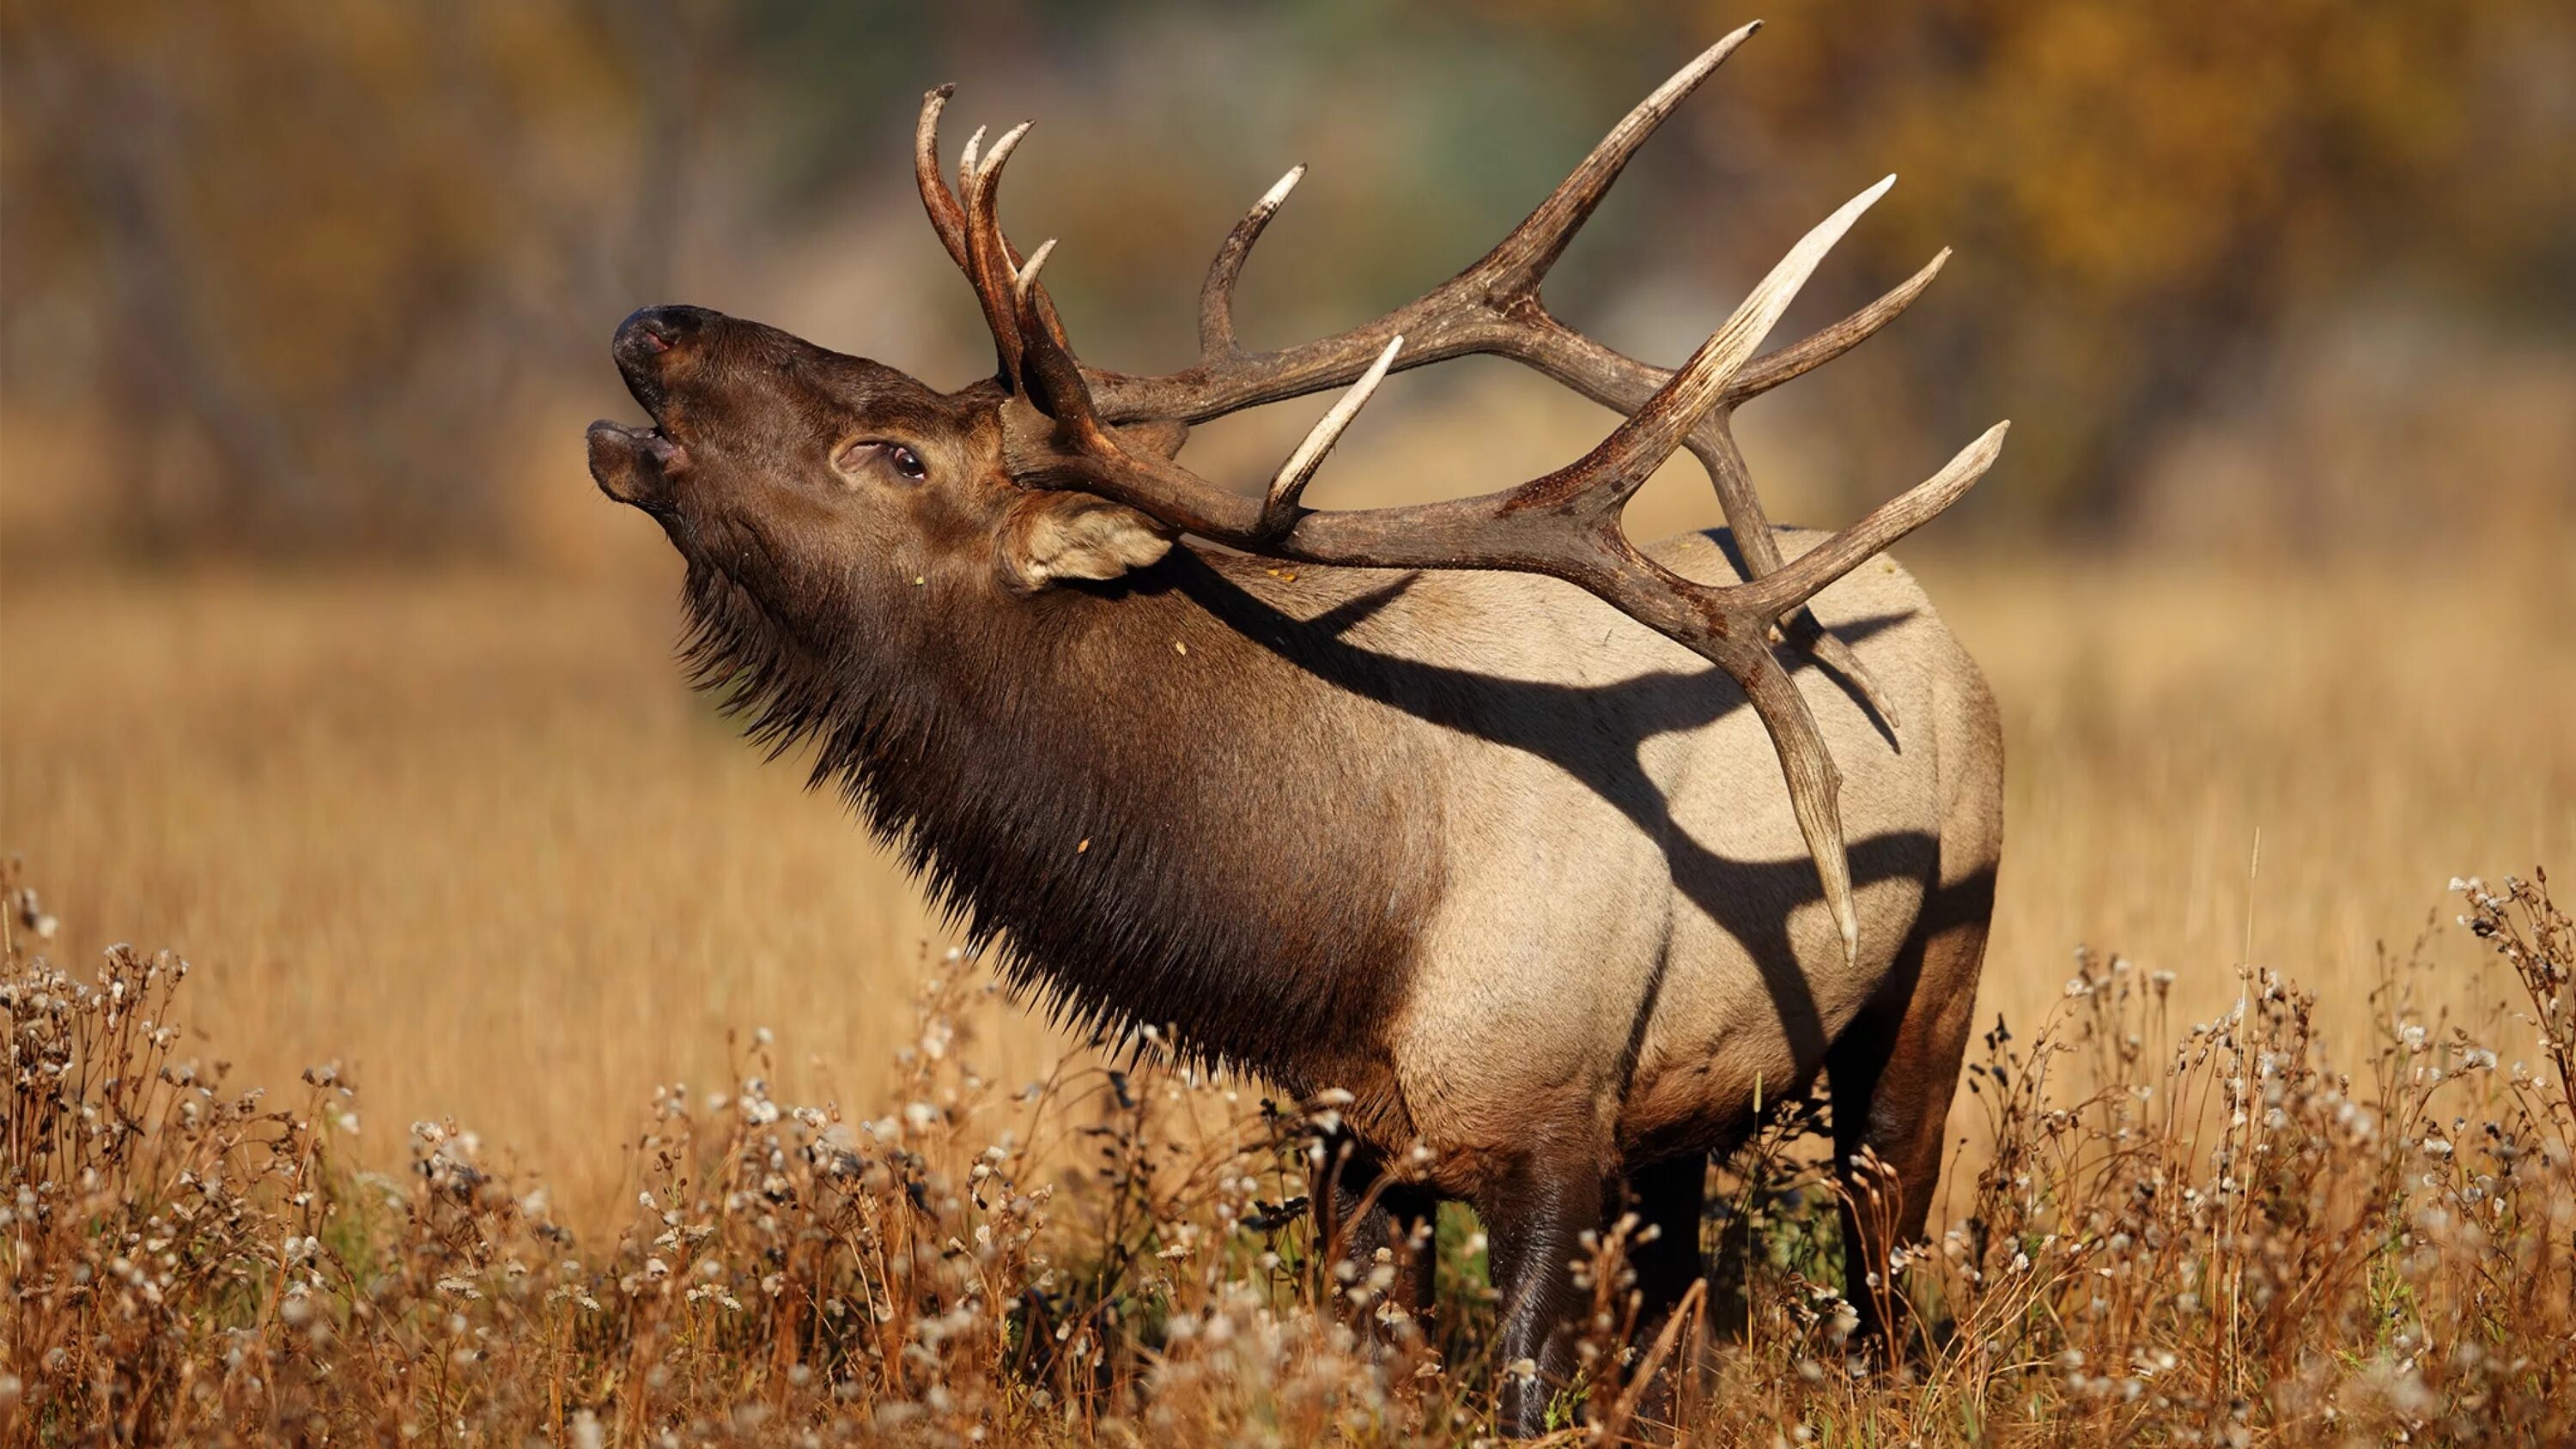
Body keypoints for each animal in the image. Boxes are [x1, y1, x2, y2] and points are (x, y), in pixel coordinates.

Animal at [585, 22, 2004, 1433]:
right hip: (1689, 1112)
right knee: (1685, 1322)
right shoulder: (1358, 1136)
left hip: (1937, 969)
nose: (656, 326)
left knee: (1885, 1251)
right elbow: (1377, 1371)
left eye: (895, 453)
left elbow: (1523, 1388)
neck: (1349, 937)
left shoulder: (1553, 1120)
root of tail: (1936, 621)